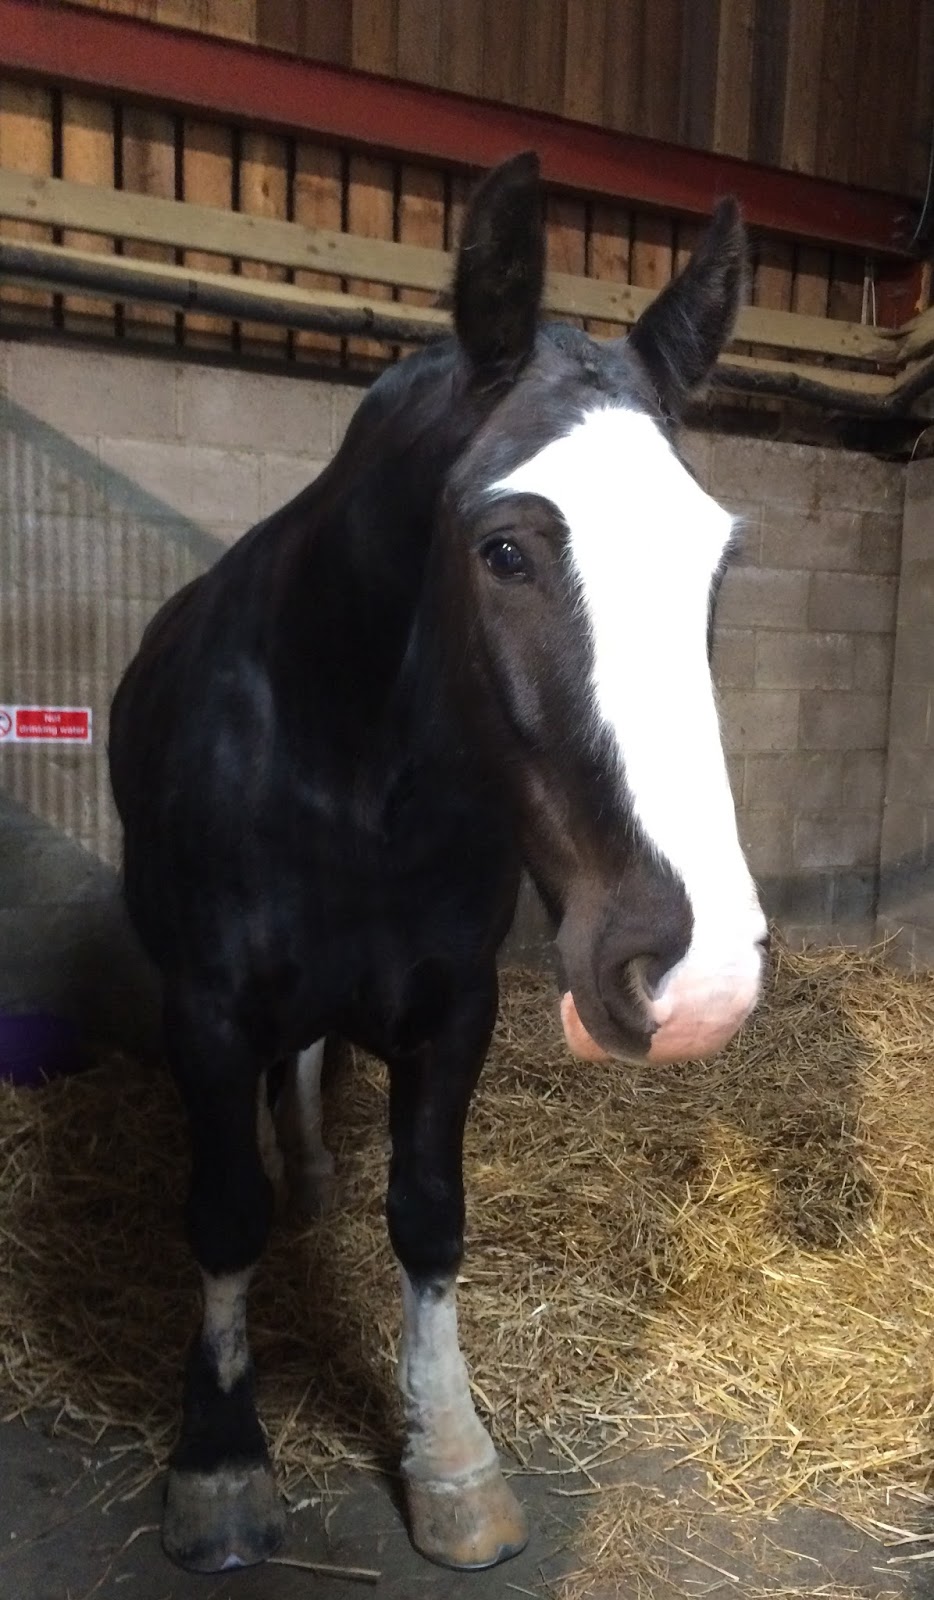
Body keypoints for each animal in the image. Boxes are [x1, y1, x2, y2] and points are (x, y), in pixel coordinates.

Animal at [108, 151, 766, 1576]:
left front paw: (453, 1459)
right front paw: (220, 1461)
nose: (697, 979)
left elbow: (428, 1214)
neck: (354, 772)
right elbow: (223, 1213)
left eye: (717, 564)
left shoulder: (451, 1009)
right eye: (504, 548)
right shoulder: (209, 1011)